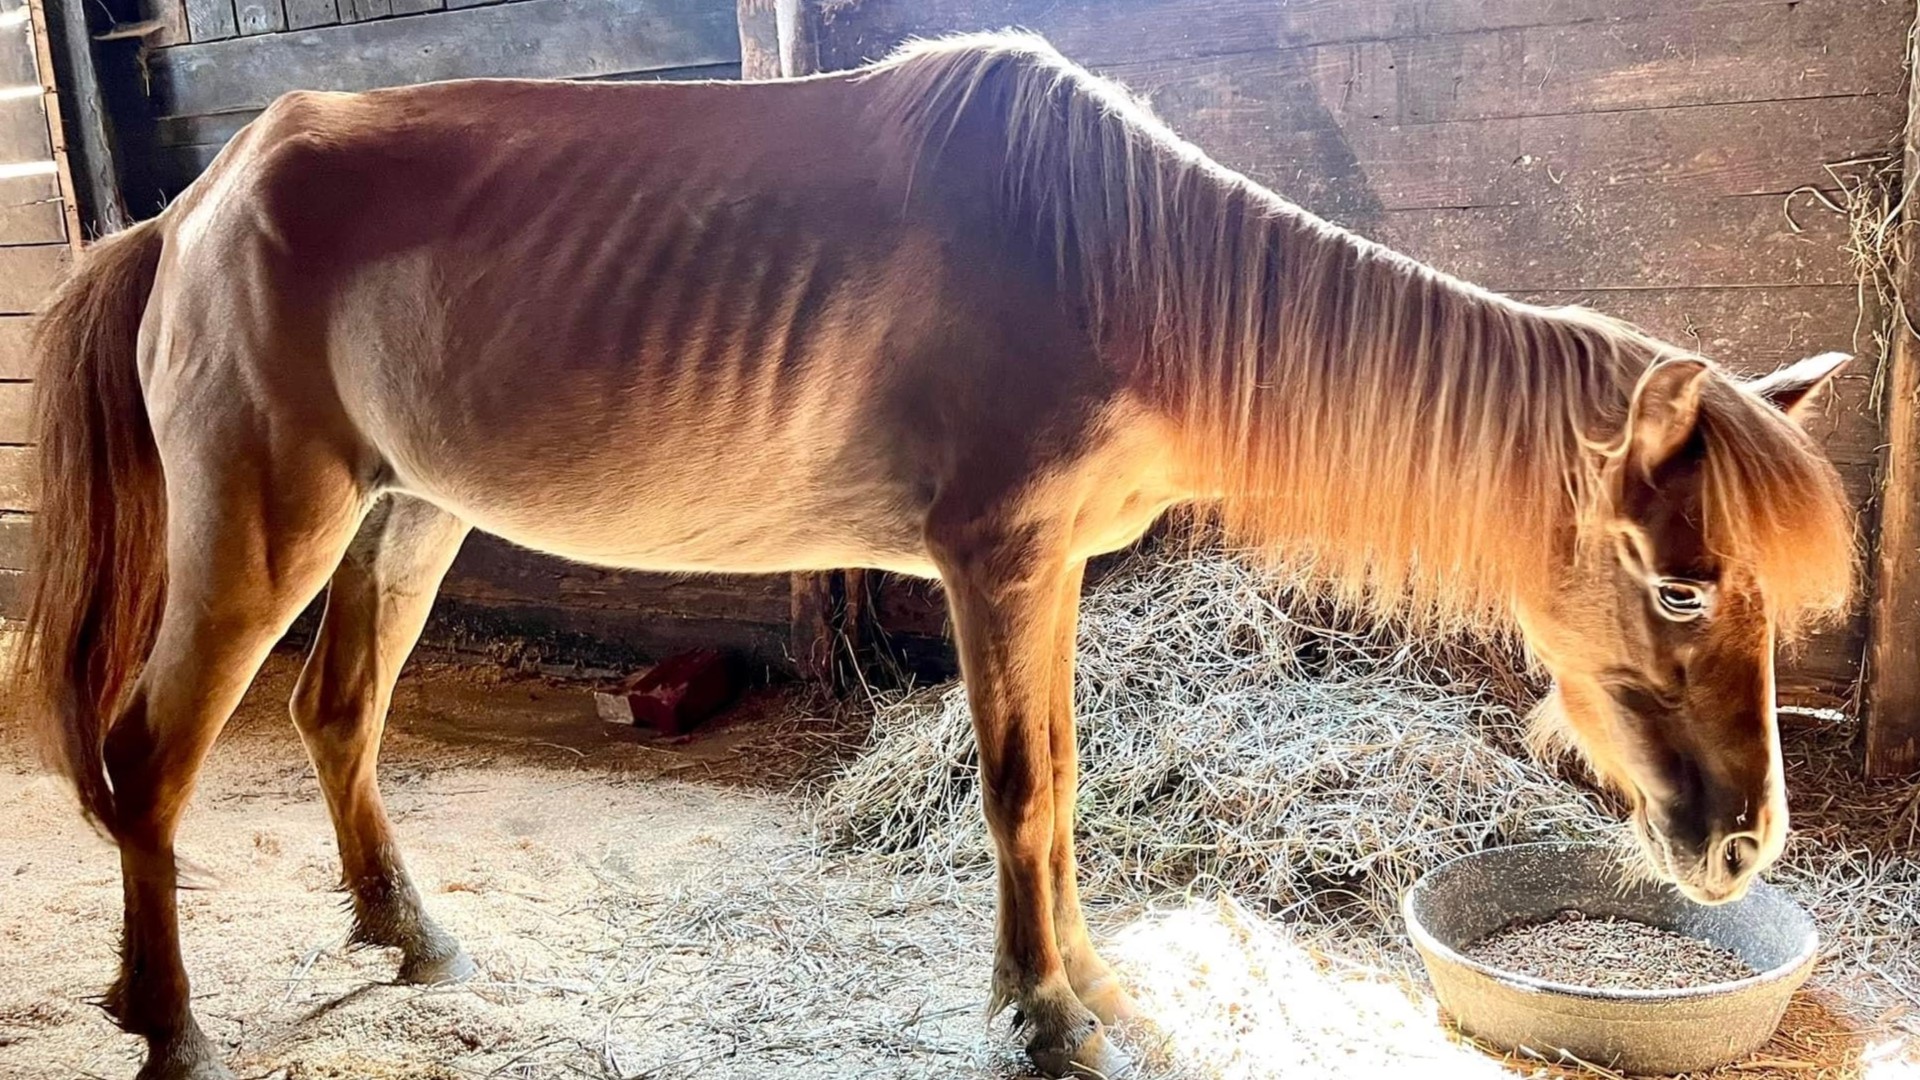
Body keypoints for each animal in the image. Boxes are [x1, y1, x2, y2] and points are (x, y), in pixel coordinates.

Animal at [12, 31, 1854, 1080]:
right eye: (1683, 586)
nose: (1743, 845)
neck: (1112, 262)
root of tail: (183, 215)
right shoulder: (997, 560)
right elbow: (1022, 788)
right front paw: (1038, 1017)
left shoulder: (1047, 578)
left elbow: (1067, 790)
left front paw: (1091, 987)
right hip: (269, 521)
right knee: (151, 754)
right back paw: (166, 1022)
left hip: (408, 512)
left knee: (338, 714)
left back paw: (410, 939)